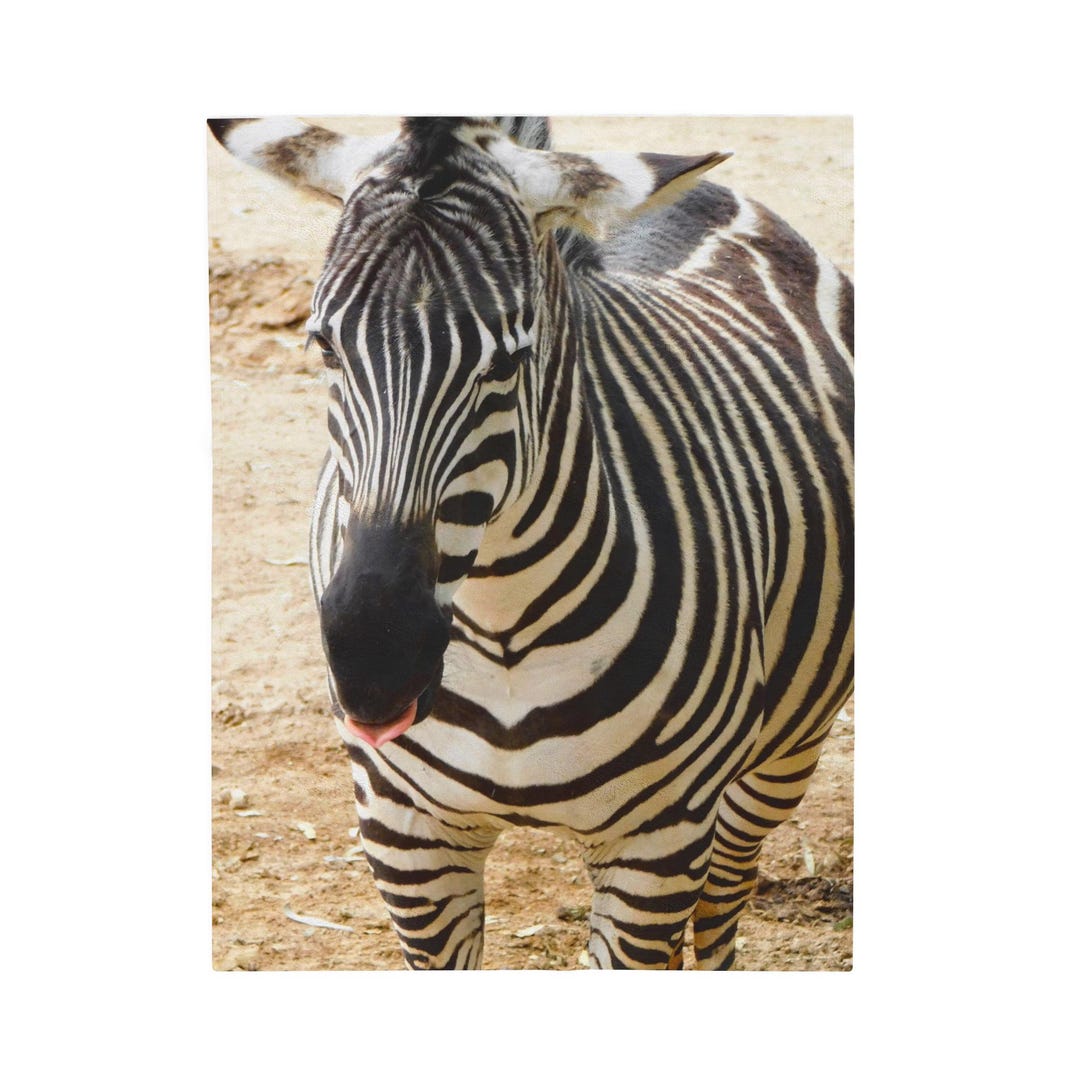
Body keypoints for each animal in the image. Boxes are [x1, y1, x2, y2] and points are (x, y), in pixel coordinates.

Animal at [208, 115, 854, 970]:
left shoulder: (655, 842)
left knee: (723, 907)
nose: (375, 667)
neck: (500, 614)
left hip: (777, 761)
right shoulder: (406, 839)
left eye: (510, 361)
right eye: (324, 347)